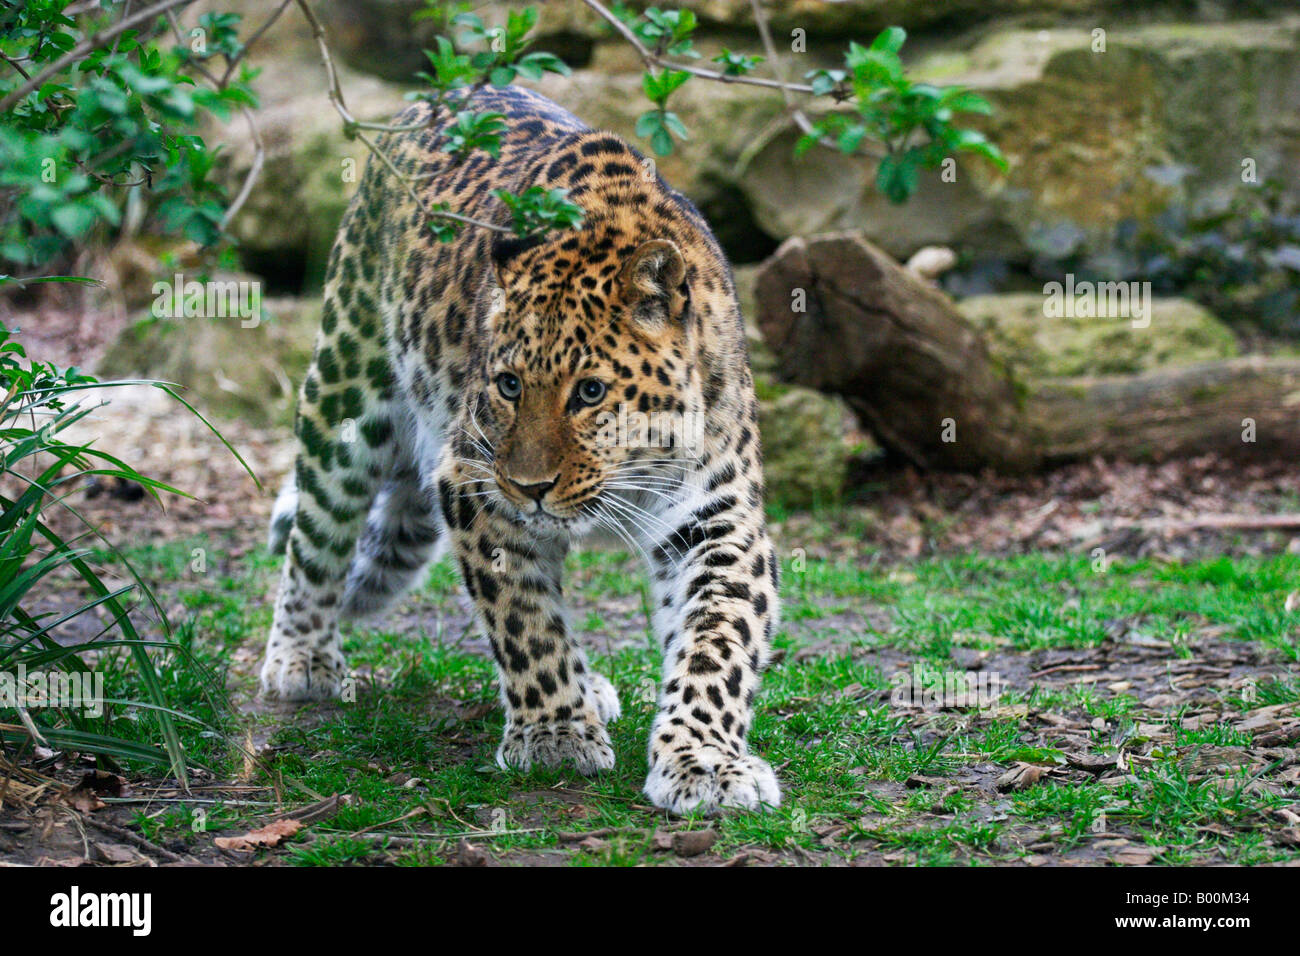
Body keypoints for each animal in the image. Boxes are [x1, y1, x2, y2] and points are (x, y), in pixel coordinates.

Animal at [259, 85, 781, 816]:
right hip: (344, 389)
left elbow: (717, 643)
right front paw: (555, 733)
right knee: (318, 534)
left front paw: (703, 760)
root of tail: (434, 95)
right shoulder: (473, 484)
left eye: (590, 391)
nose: (531, 487)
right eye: (508, 384)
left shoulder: (717, 518)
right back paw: (301, 656)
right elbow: (526, 624)